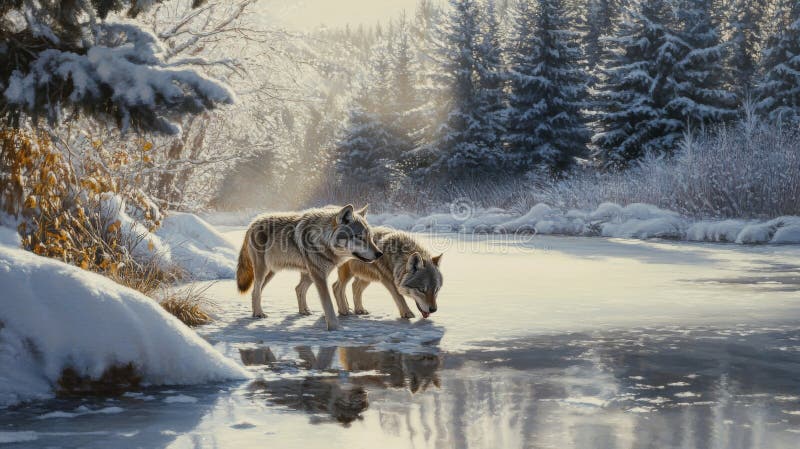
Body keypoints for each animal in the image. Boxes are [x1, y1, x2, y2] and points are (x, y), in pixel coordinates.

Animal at [236, 204, 382, 330]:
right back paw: (258, 314)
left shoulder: (319, 273)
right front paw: (334, 328)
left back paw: (303, 311)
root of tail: (252, 223)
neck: (322, 239)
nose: (380, 254)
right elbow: (328, 305)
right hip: (265, 271)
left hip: (288, 273)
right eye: (359, 237)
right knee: (256, 291)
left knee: (296, 288)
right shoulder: (320, 276)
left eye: (371, 237)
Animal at [295, 227, 443, 319]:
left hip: (366, 278)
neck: (396, 258)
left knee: (353, 287)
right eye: (422, 290)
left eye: (435, 290)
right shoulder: (388, 280)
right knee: (335, 287)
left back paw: (357, 309)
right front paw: (407, 313)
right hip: (344, 274)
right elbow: (399, 297)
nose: (433, 310)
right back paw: (342, 311)